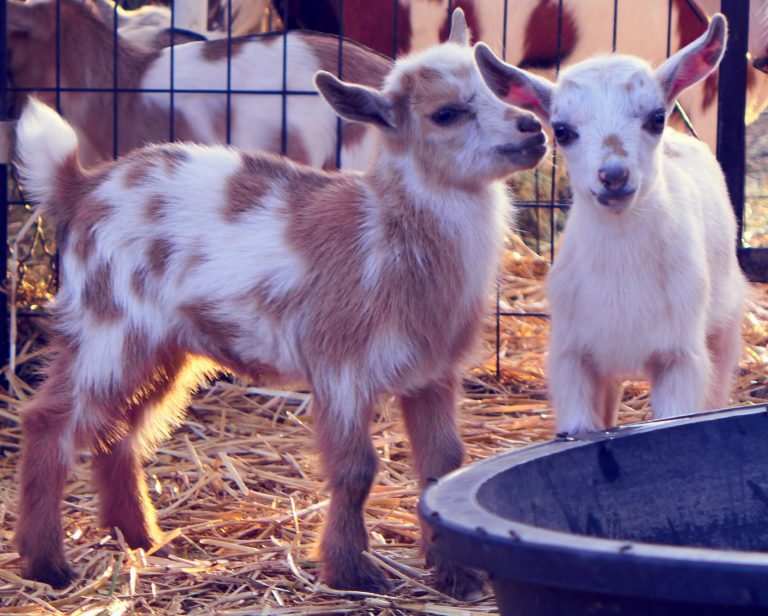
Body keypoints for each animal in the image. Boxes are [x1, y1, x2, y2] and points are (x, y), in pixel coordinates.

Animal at [475, 14, 747, 434]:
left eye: (656, 117)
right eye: (562, 130)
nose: (614, 175)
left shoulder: (681, 357)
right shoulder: (573, 355)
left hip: (725, 323)